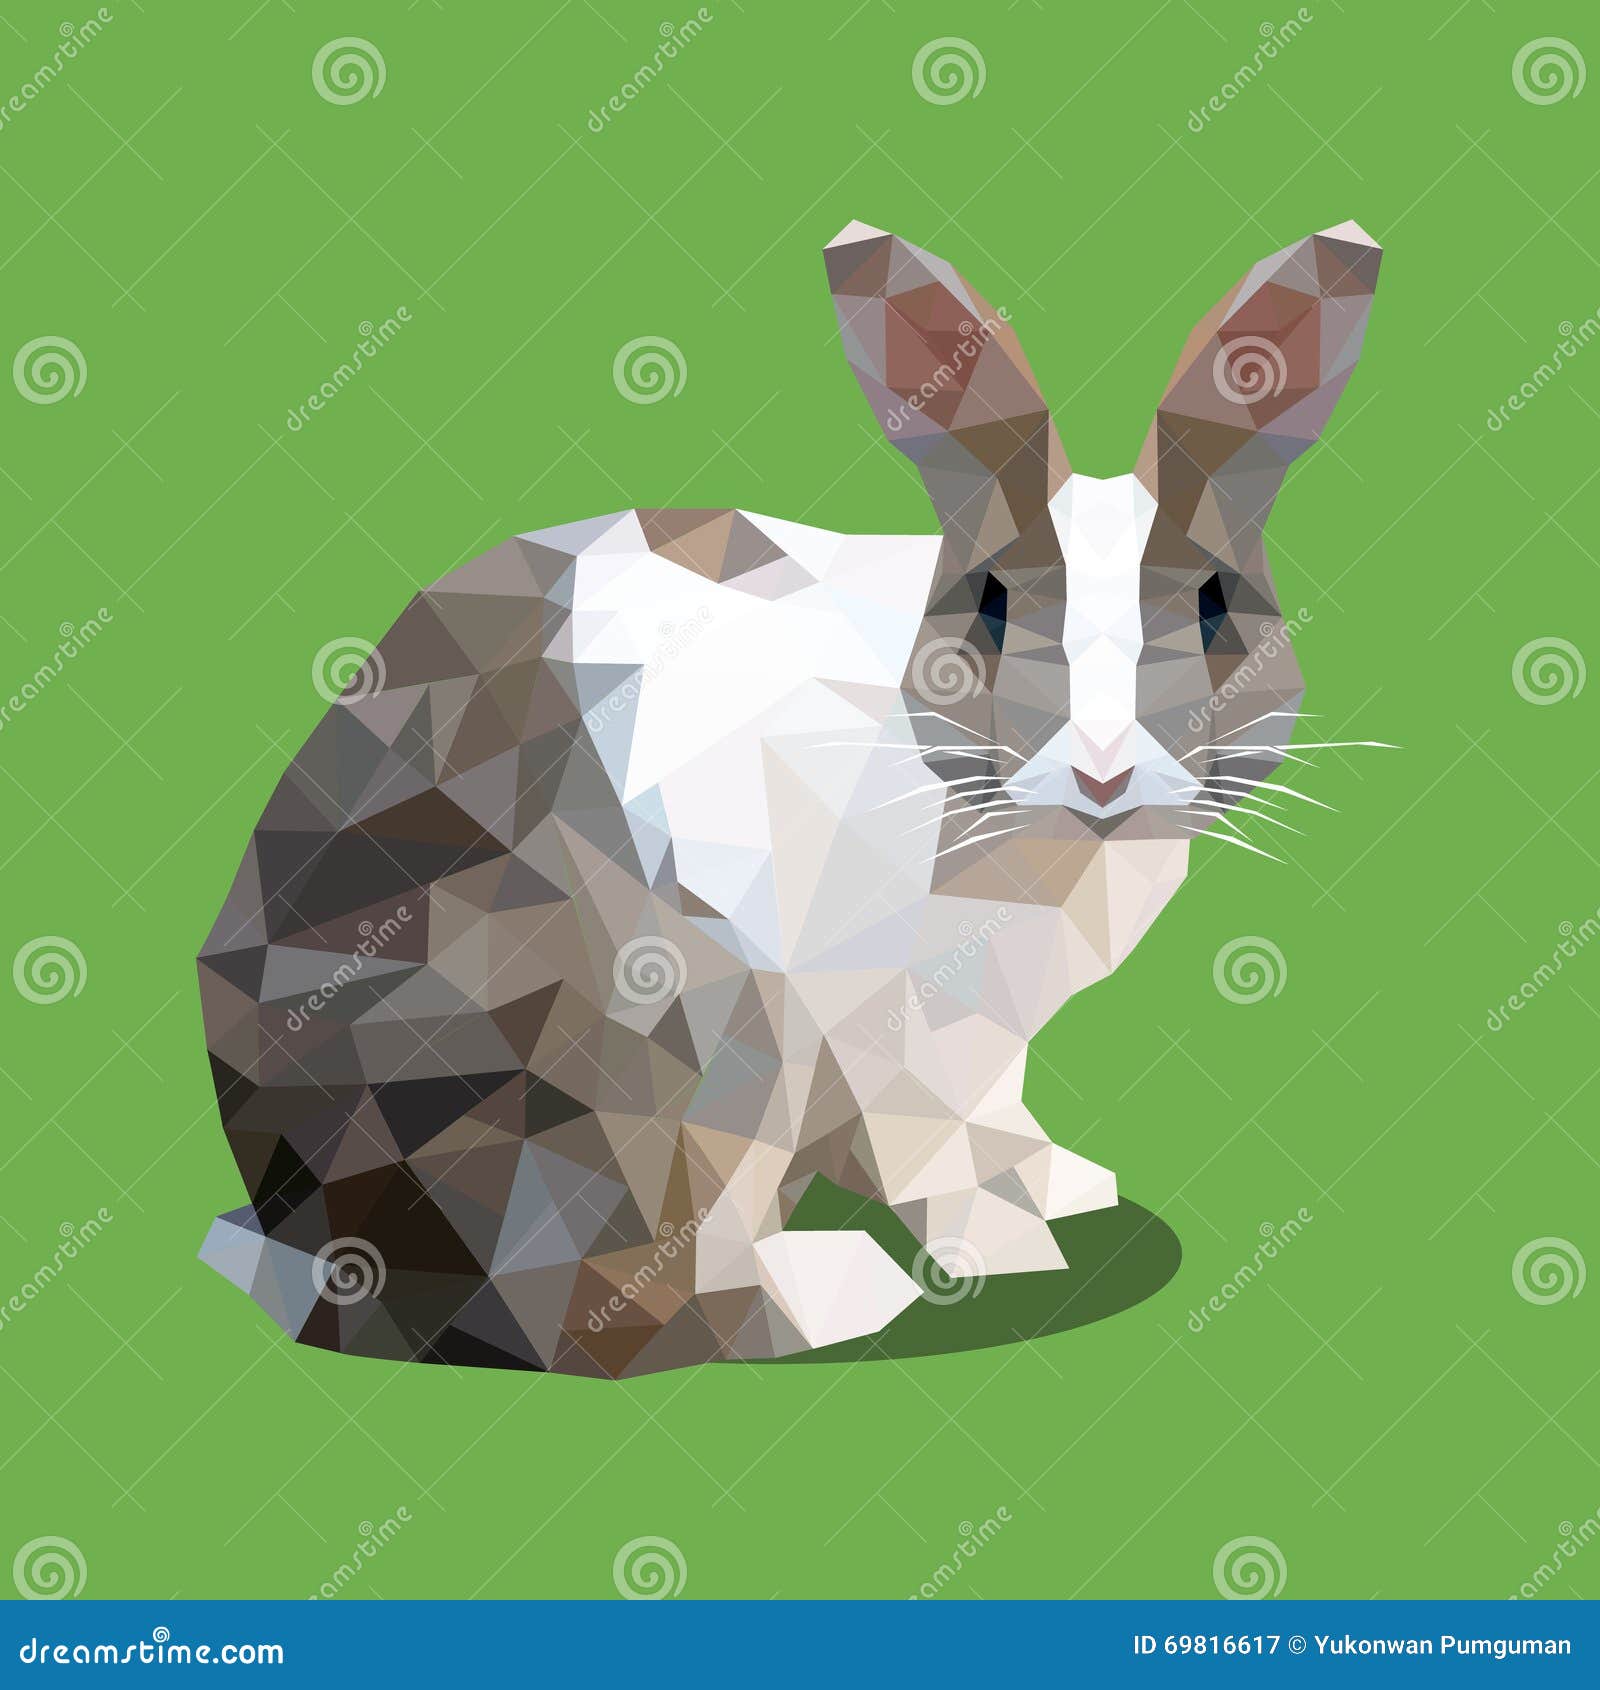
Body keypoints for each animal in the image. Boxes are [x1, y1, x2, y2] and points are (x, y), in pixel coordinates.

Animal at [198, 219, 1381, 1378]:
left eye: (1218, 603)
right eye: (991, 603)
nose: (1101, 772)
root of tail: (310, 1231)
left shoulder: (989, 1030)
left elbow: (987, 1112)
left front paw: (1056, 1183)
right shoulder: (888, 1015)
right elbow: (924, 1139)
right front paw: (1000, 1244)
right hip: (689, 1038)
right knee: (629, 1300)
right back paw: (838, 1293)